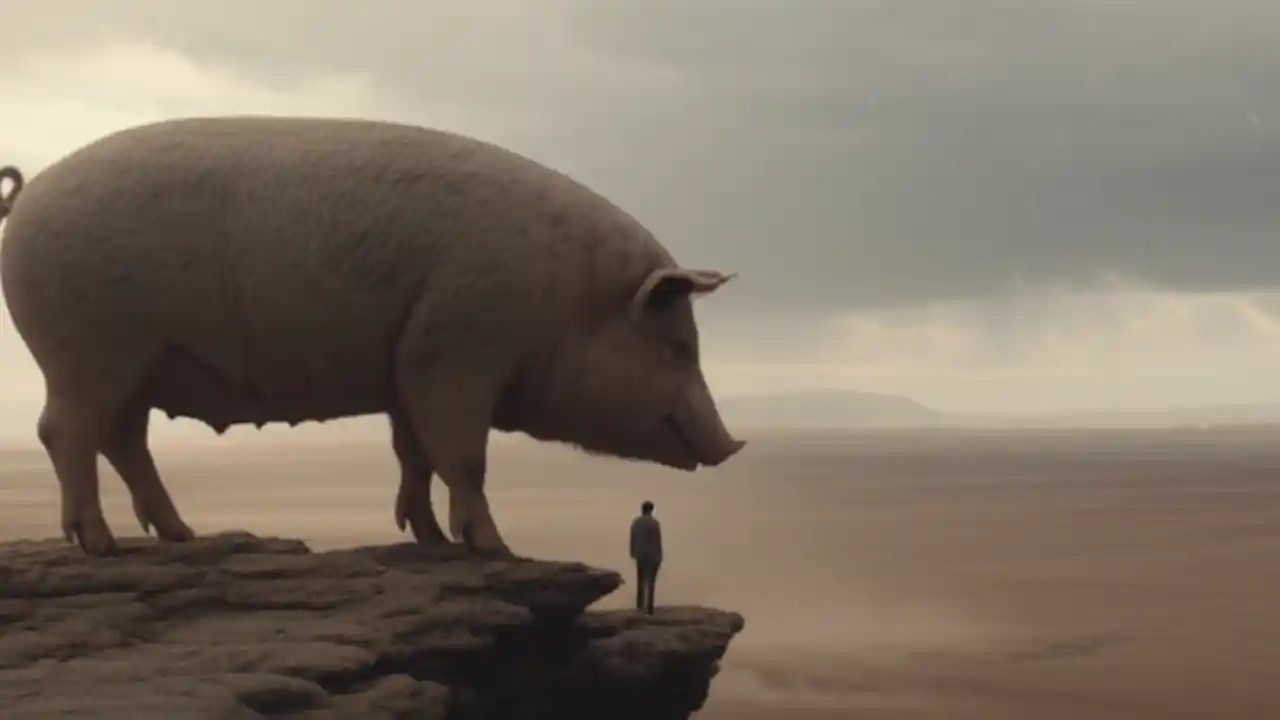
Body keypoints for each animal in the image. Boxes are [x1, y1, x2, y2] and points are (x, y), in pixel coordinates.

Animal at [0, 117, 745, 557]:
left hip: (138, 364)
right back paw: (100, 545)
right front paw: (494, 550)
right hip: (88, 351)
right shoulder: (455, 354)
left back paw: (181, 536)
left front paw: (431, 540)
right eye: (677, 348)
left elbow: (414, 458)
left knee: (124, 440)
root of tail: (29, 194)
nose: (733, 445)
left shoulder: (408, 368)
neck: (566, 300)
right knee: (63, 432)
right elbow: (464, 458)